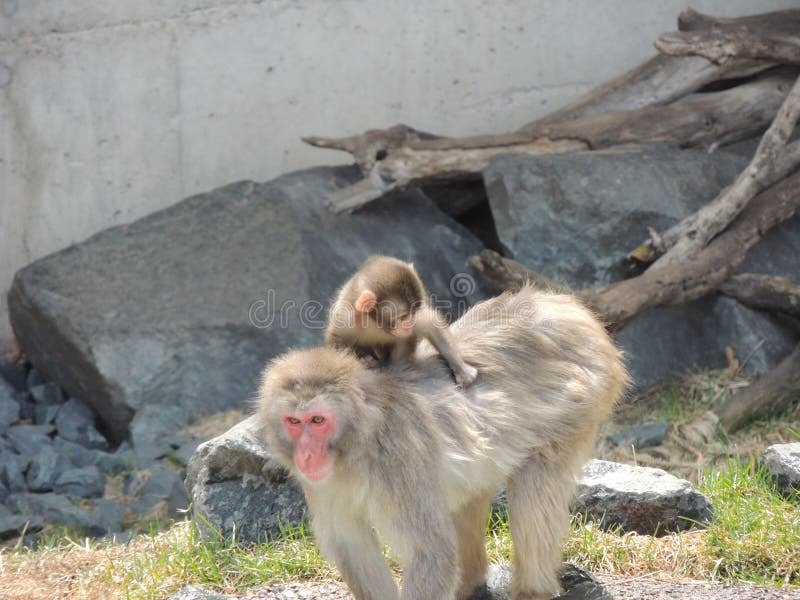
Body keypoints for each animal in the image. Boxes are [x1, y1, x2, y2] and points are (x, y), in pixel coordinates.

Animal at [257, 286, 628, 600]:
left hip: (577, 401)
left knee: (536, 481)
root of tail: (565, 307)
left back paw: (532, 589)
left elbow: (430, 552)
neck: (357, 445)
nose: (306, 455)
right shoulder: (323, 483)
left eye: (318, 421)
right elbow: (352, 544)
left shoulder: (400, 461)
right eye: (294, 422)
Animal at [325, 255, 479, 388]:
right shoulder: (346, 319)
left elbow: (431, 324)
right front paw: (364, 359)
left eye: (413, 312)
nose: (409, 325)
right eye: (403, 317)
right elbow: (337, 343)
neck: (375, 323)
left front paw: (463, 370)